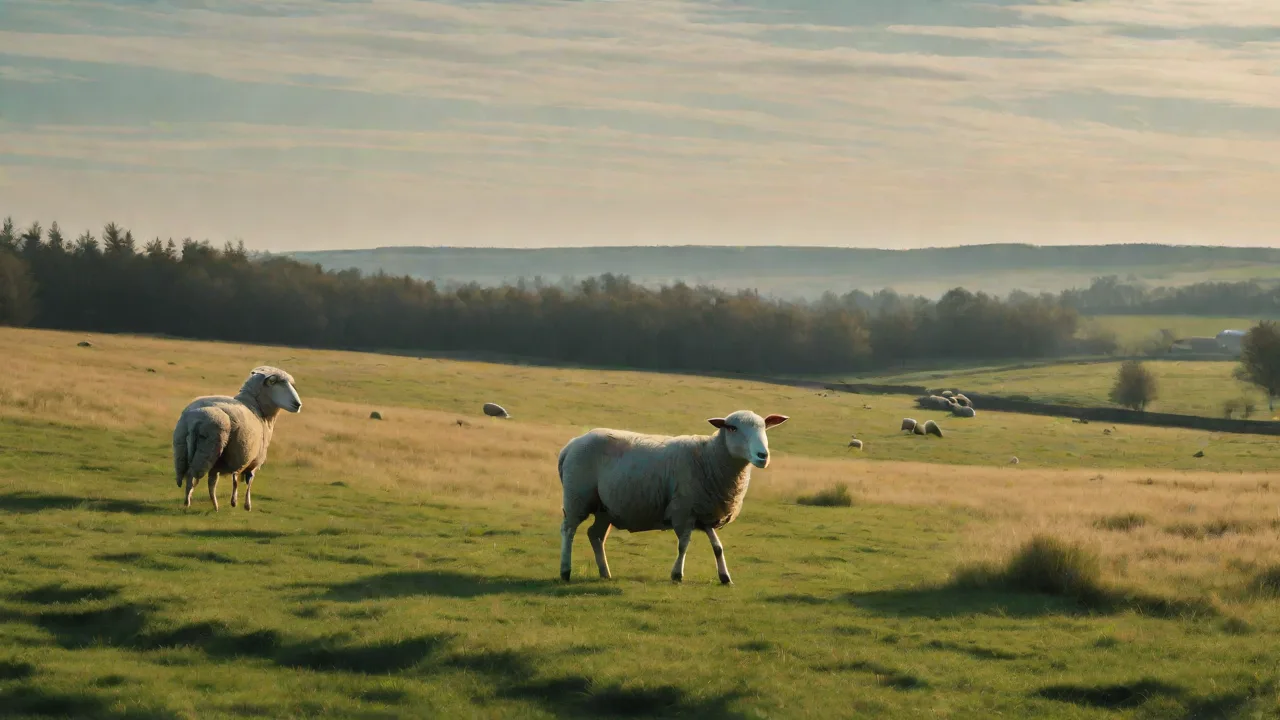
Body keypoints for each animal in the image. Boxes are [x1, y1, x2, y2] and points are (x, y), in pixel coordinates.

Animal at [171, 366, 301, 511]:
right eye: (278, 383)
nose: (298, 404)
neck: (256, 407)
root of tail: (195, 419)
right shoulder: (252, 460)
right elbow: (246, 482)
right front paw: (245, 504)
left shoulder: (231, 459)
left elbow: (227, 480)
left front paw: (234, 502)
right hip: (207, 450)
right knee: (192, 476)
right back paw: (189, 502)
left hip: (183, 450)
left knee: (195, 478)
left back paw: (211, 504)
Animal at [556, 410, 789, 585]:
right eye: (732, 428)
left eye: (764, 427)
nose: (762, 456)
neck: (710, 456)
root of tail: (571, 445)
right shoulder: (683, 509)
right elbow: (683, 545)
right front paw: (677, 574)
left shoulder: (704, 511)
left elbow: (717, 547)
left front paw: (725, 577)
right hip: (577, 497)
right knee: (568, 530)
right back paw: (565, 571)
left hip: (605, 508)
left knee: (595, 535)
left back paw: (605, 572)